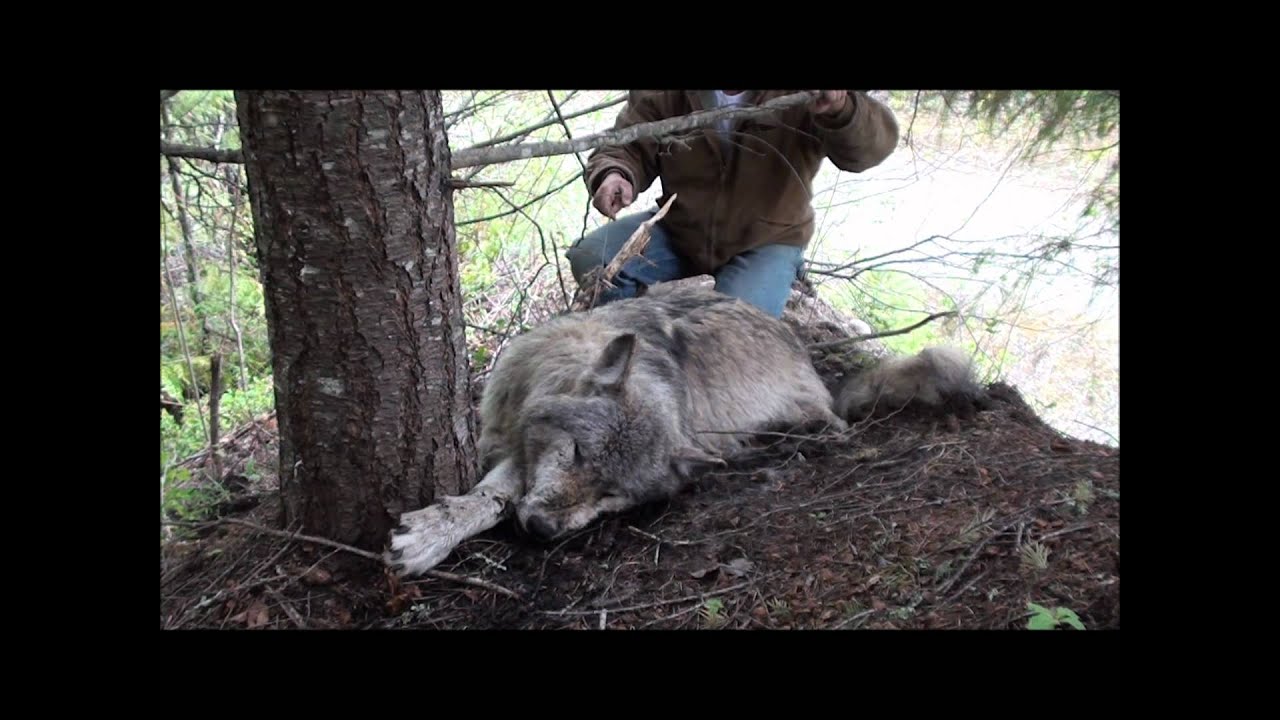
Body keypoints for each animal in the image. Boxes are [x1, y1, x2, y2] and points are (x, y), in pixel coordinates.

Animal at [386, 284, 981, 578]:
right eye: (576, 453)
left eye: (612, 496)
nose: (541, 530)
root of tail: (803, 350)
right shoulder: (513, 442)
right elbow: (487, 498)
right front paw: (435, 532)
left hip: (794, 417)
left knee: (831, 426)